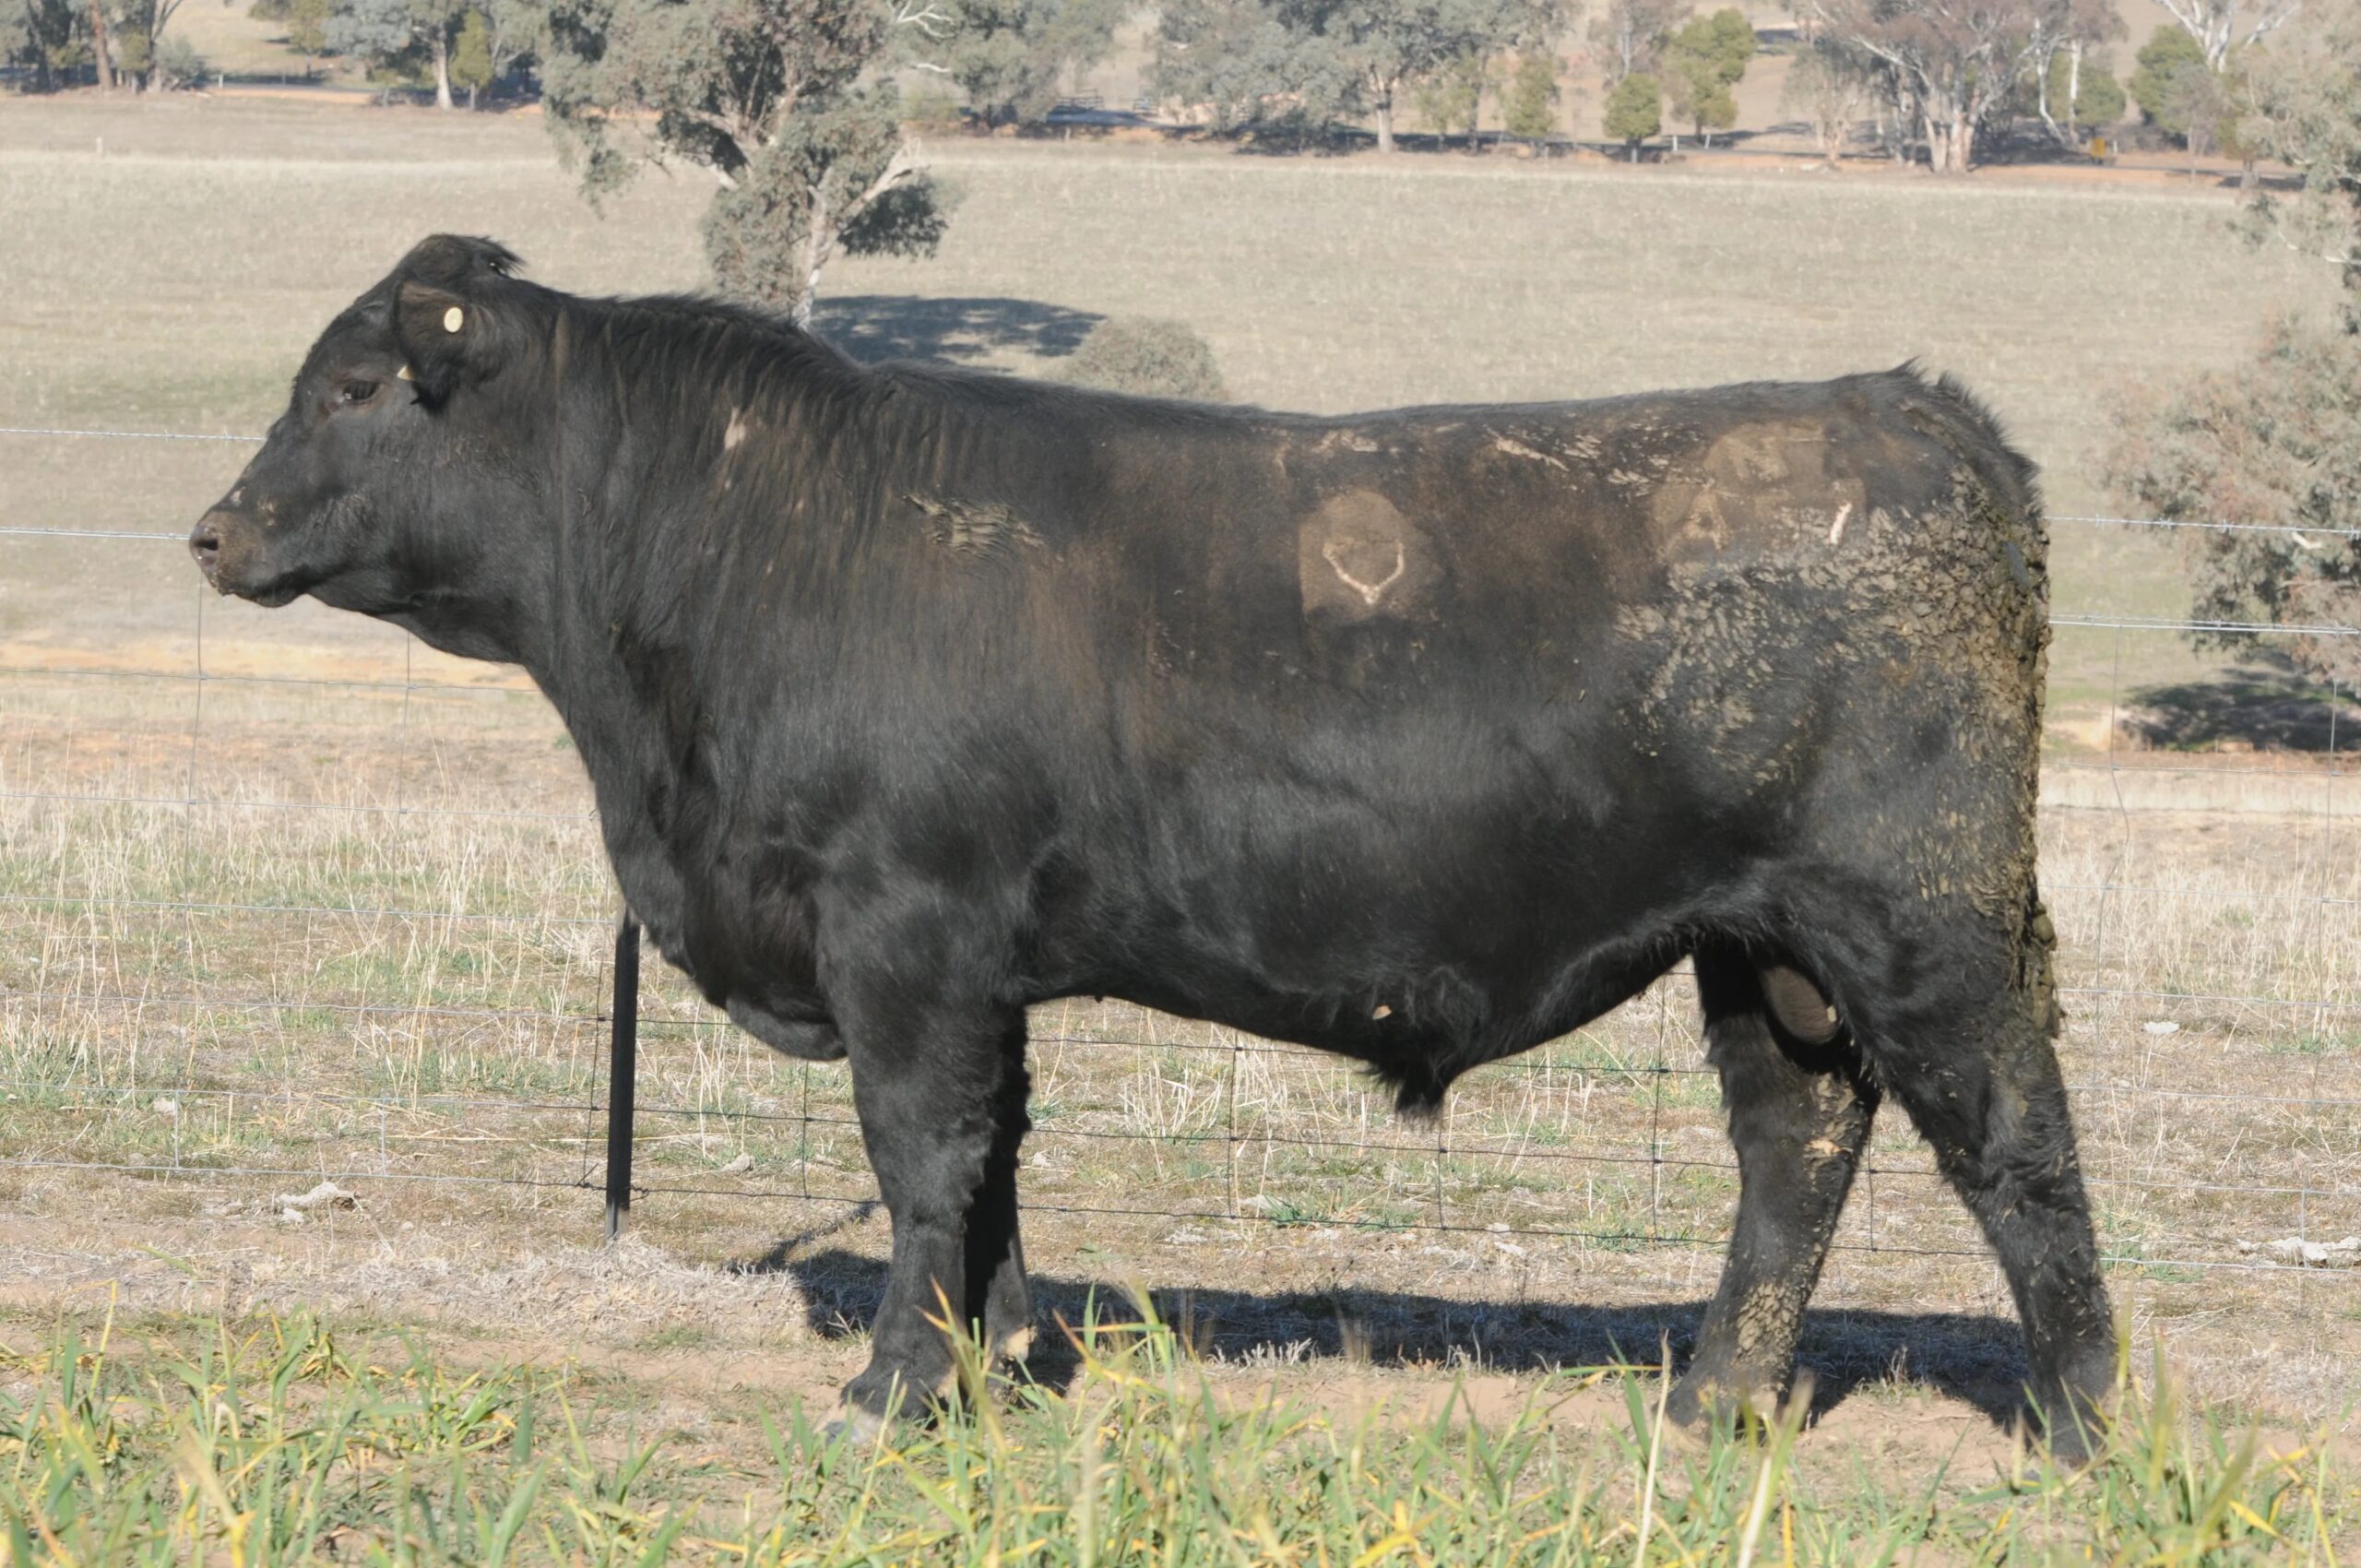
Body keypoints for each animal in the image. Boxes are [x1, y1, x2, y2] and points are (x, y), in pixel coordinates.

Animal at [190, 235, 2115, 1454]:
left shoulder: (902, 939)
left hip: (1927, 927)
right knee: (1797, 1151)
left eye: (355, 384)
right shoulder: (977, 968)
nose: (213, 529)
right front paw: (999, 1361)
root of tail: (1909, 405)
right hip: (1764, 949)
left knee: (2014, 1142)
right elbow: (994, 1172)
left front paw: (889, 1397)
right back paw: (1716, 1408)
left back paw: (2086, 1423)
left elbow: (923, 1156)